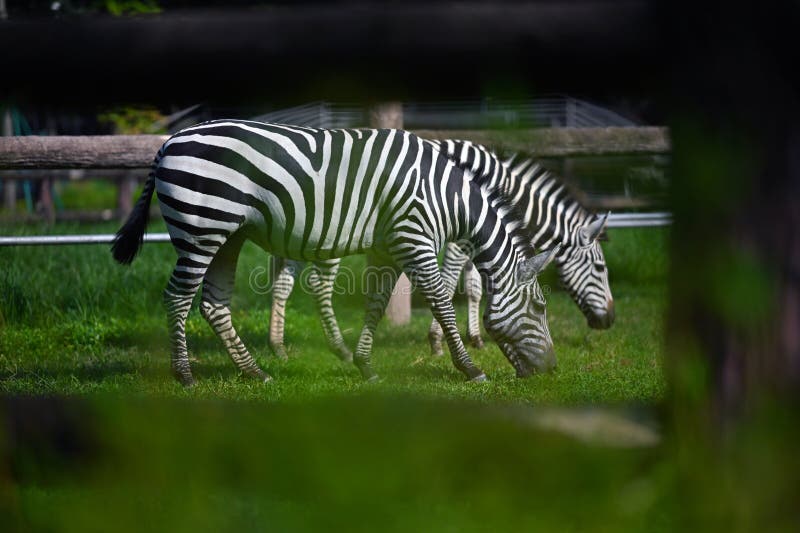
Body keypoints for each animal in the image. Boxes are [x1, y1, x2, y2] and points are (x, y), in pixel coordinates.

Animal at [111, 120, 558, 386]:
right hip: (202, 228)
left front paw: (364, 365)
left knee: (213, 304)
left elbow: (376, 304)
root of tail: (171, 141)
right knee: (178, 297)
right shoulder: (413, 237)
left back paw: (254, 371)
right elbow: (442, 303)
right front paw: (470, 368)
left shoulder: (388, 246)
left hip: (227, 235)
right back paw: (184, 374)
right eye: (539, 308)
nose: (554, 370)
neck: (447, 197)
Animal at [266, 139, 613, 360]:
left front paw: (475, 338)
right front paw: (438, 343)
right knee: (319, 284)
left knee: (284, 282)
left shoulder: (479, 237)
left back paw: (278, 347)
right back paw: (339, 348)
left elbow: (474, 287)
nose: (609, 321)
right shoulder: (461, 238)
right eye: (600, 269)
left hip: (299, 232)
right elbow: (447, 283)